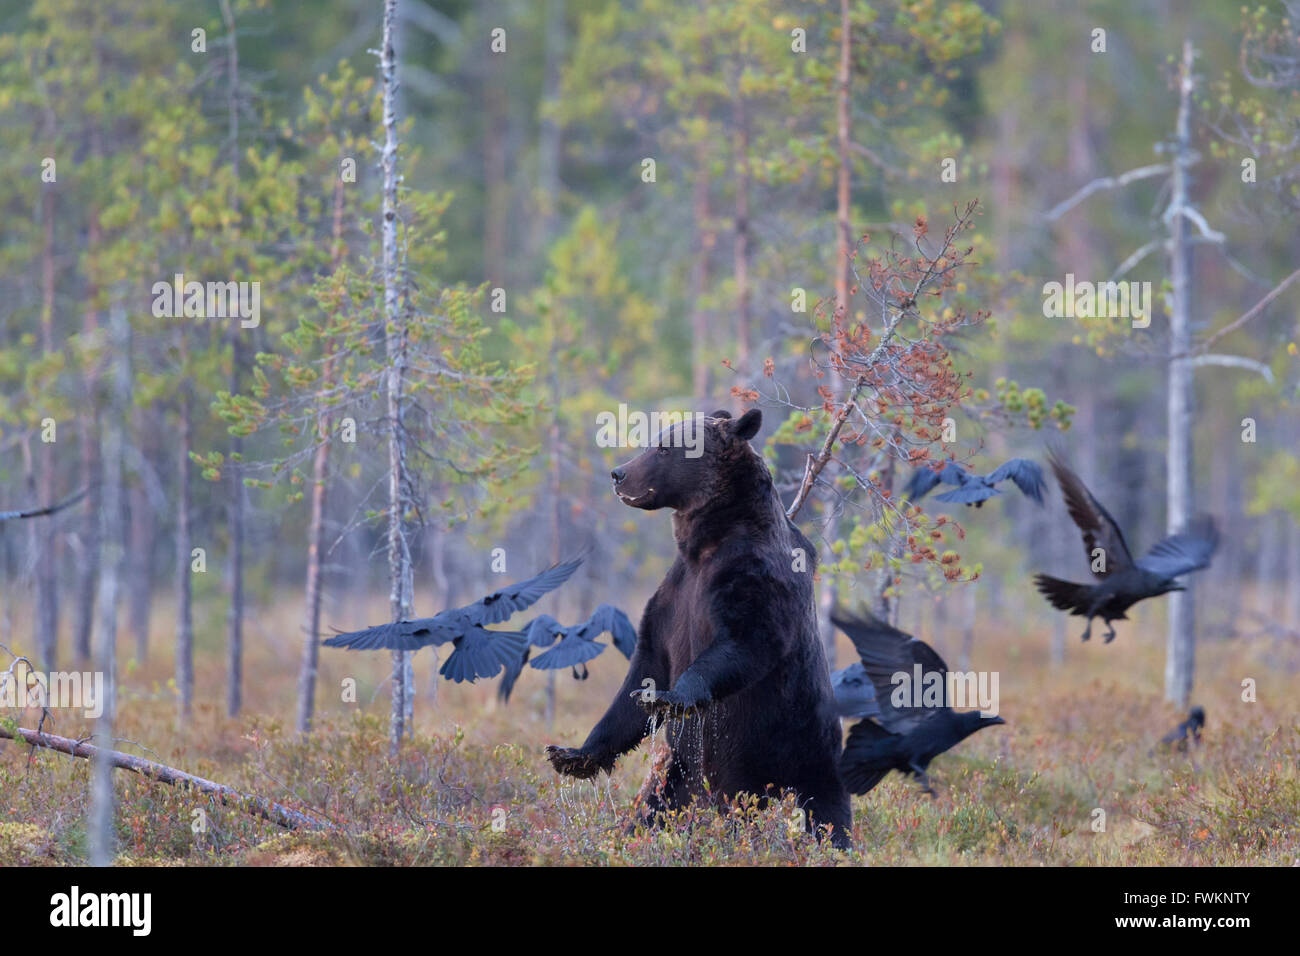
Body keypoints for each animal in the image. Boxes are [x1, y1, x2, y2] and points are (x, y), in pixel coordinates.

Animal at [546, 407, 852, 849]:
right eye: (654, 440)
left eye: (663, 447)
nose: (619, 473)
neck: (706, 541)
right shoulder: (675, 595)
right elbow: (644, 669)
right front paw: (573, 755)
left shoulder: (754, 575)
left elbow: (745, 641)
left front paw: (668, 698)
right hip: (686, 772)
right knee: (656, 807)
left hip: (789, 745)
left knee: (823, 811)